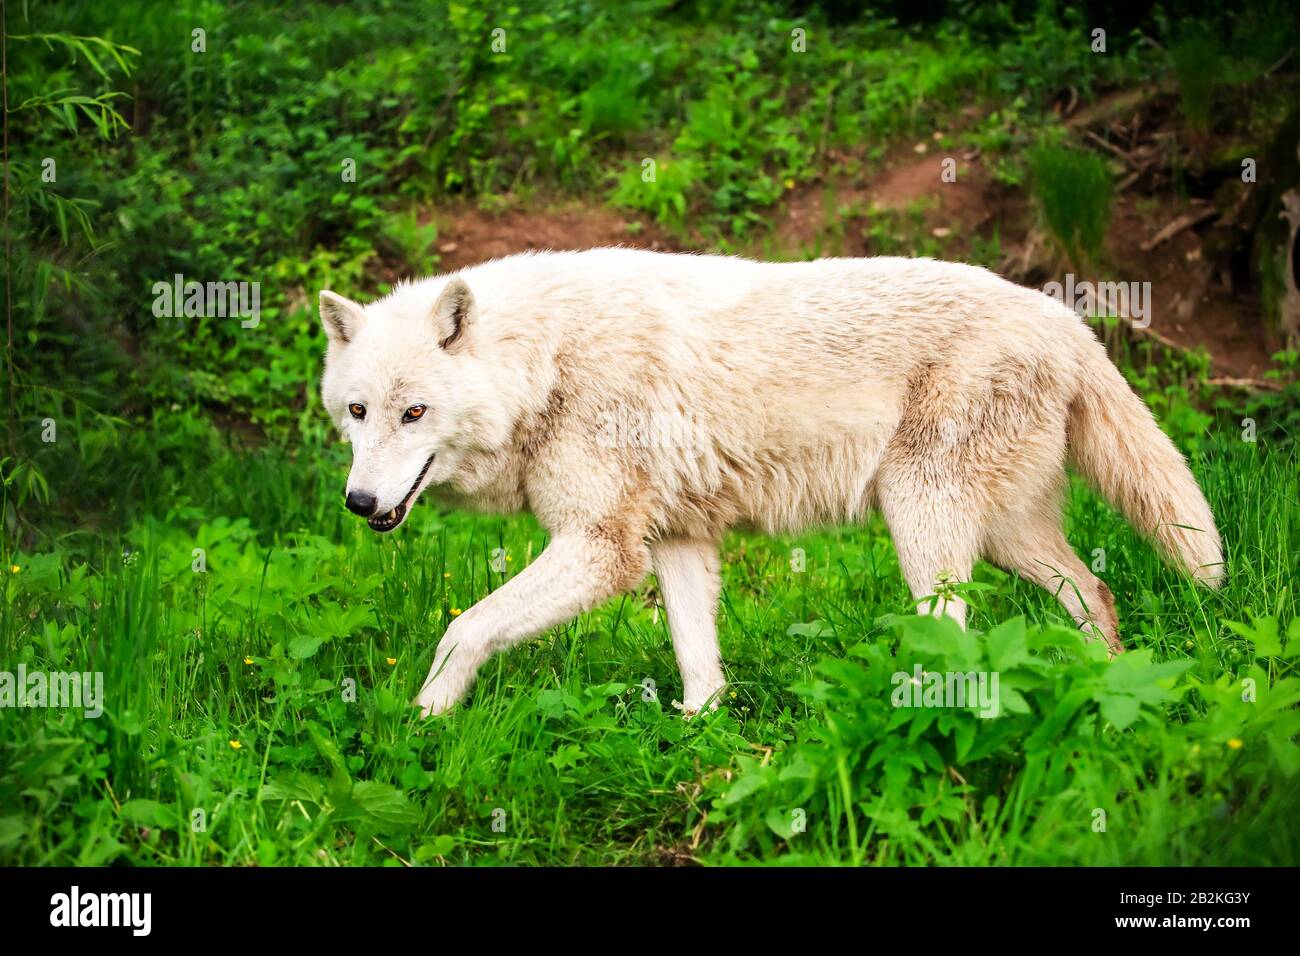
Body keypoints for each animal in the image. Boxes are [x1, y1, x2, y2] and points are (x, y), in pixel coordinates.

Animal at [318, 249, 1223, 717]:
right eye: (358, 411)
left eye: (414, 413)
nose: (361, 503)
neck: (548, 363)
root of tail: (1066, 319)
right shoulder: (676, 541)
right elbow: (698, 658)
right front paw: (699, 733)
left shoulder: (602, 550)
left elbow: (465, 627)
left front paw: (427, 719)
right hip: (1005, 536)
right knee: (1094, 590)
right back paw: (1110, 684)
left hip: (922, 523)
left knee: (959, 631)